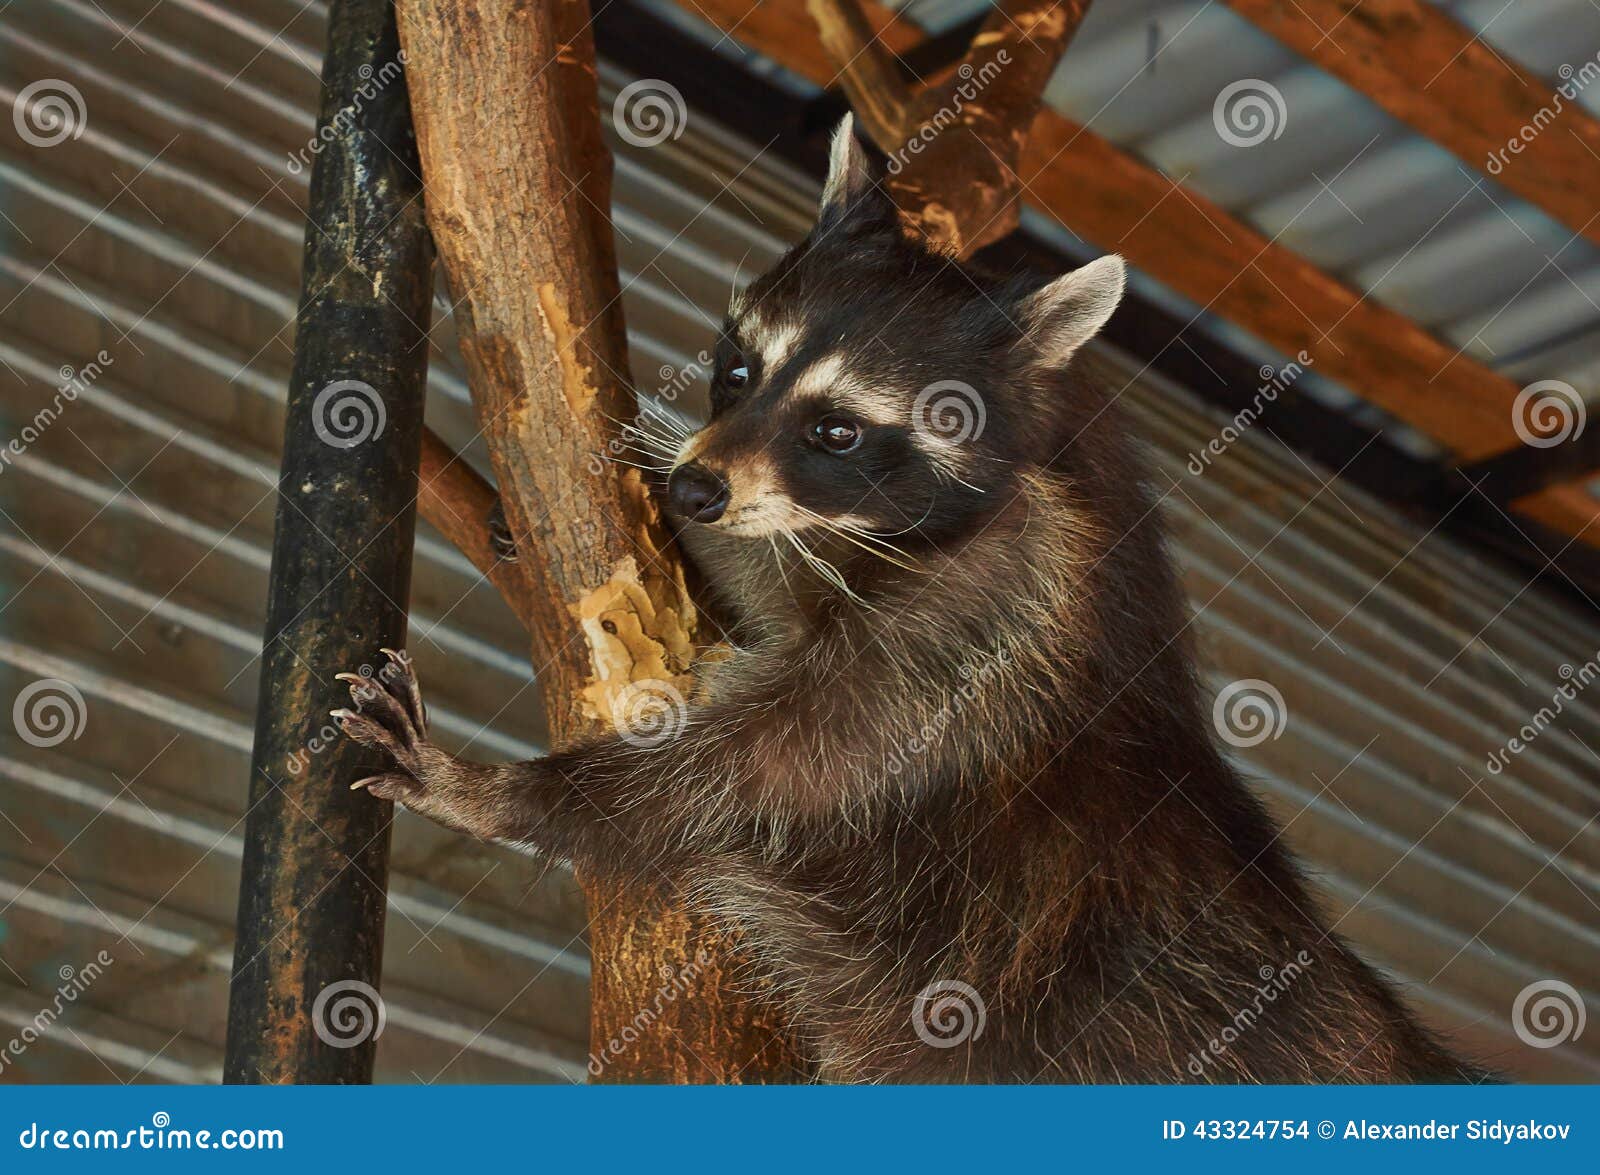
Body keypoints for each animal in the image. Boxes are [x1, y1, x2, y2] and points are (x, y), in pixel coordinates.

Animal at [336, 119, 1489, 1084]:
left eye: (838, 429)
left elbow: (763, 765)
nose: (700, 489)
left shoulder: (988, 628)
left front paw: (515, 791)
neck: (1036, 435)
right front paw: (688, 520)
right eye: (738, 369)